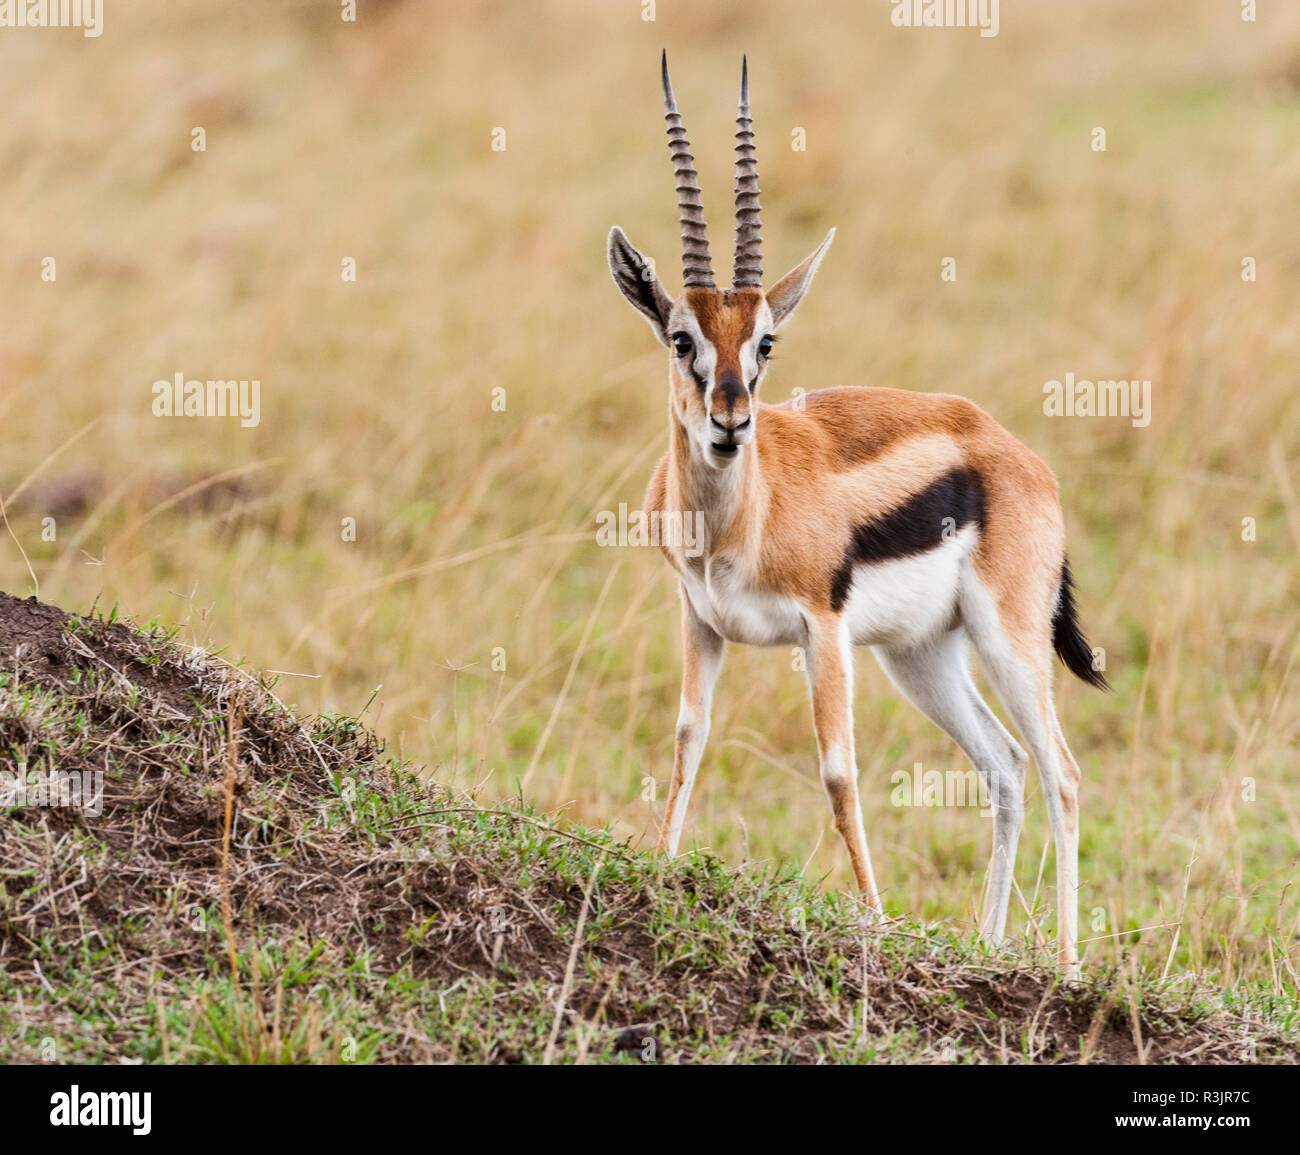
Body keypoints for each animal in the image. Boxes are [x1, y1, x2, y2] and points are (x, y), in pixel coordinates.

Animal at [606, 54, 1108, 974]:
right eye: (681, 336)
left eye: (765, 341)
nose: (731, 420)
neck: (739, 519)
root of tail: (1017, 454)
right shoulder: (700, 619)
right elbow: (688, 738)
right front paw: (658, 869)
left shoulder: (823, 627)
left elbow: (839, 771)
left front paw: (874, 921)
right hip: (921, 655)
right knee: (1005, 764)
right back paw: (987, 945)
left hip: (1005, 638)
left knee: (1059, 769)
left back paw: (1063, 964)